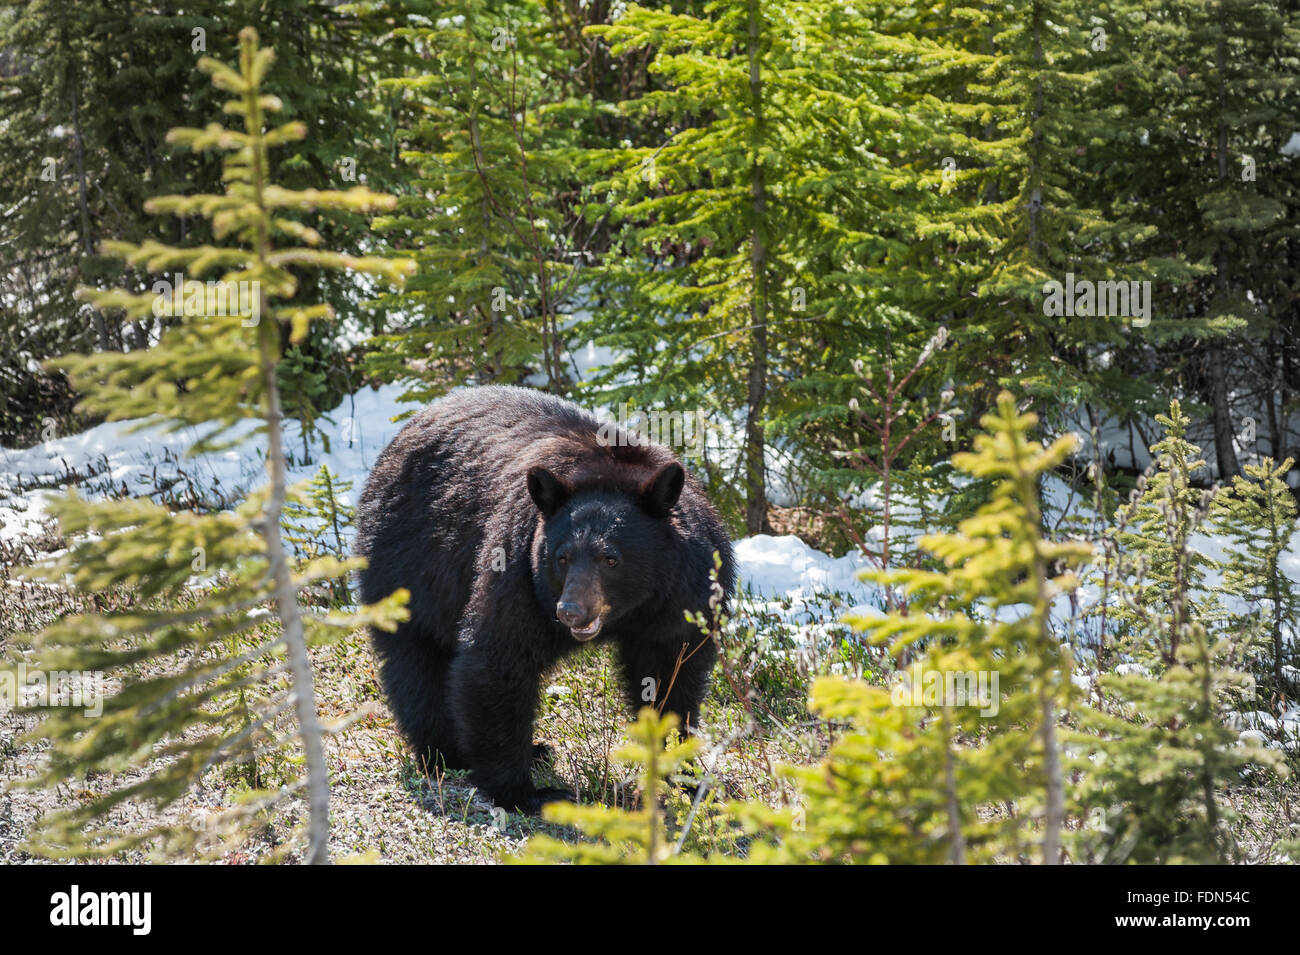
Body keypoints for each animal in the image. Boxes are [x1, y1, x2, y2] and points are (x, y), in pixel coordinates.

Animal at [355, 384, 735, 813]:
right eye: (562, 557)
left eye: (611, 558)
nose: (570, 611)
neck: (630, 612)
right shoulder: (520, 569)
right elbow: (498, 658)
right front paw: (525, 792)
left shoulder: (682, 594)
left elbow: (669, 672)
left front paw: (682, 773)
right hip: (406, 564)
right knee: (417, 662)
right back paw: (445, 753)